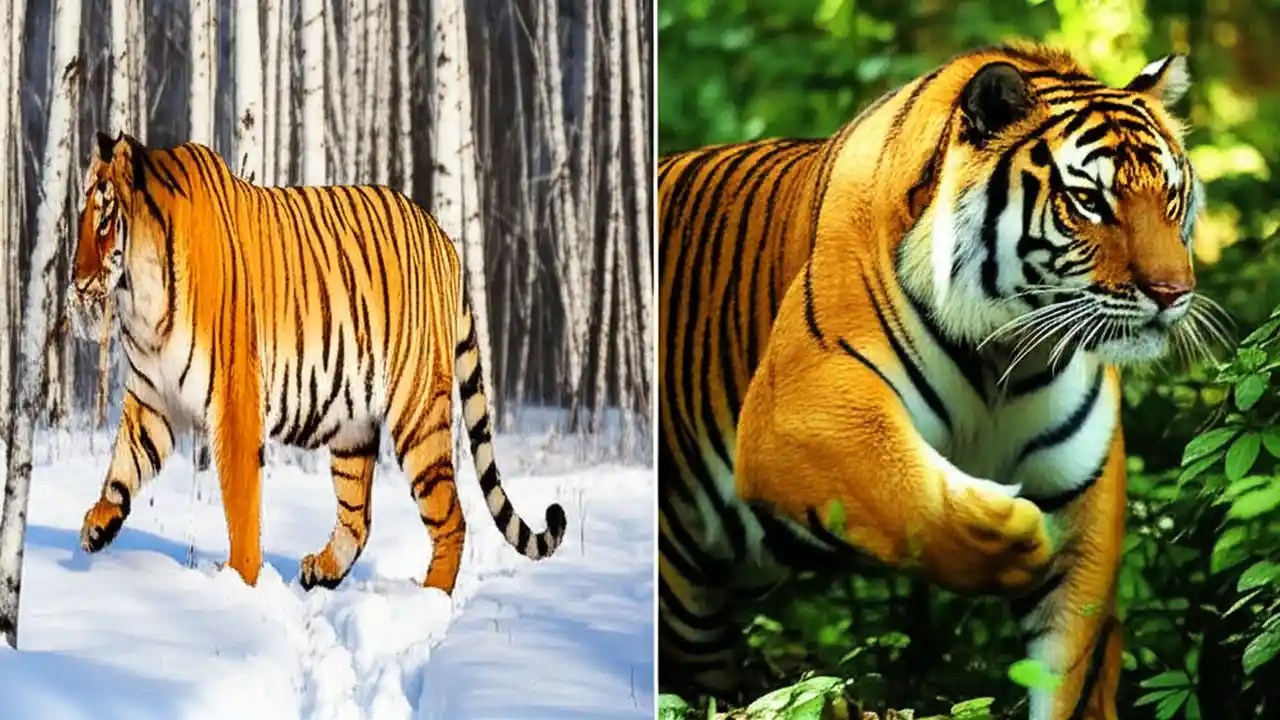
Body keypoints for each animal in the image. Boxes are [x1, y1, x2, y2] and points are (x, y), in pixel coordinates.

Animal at [68, 132, 567, 594]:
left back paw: (430, 598)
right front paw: (97, 525)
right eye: (82, 217)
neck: (139, 295)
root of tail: (444, 239)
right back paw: (322, 570)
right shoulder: (152, 396)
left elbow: (241, 506)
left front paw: (241, 585)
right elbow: (124, 463)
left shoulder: (234, 404)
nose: (76, 280)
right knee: (358, 516)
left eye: (104, 221)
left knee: (450, 516)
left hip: (418, 410)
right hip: (353, 425)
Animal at [659, 44, 1220, 720]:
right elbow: (908, 497)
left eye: (1171, 196)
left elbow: (1073, 664)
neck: (1007, 354)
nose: (1173, 292)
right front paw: (1021, 539)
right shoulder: (797, 414)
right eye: (1089, 201)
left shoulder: (1083, 494)